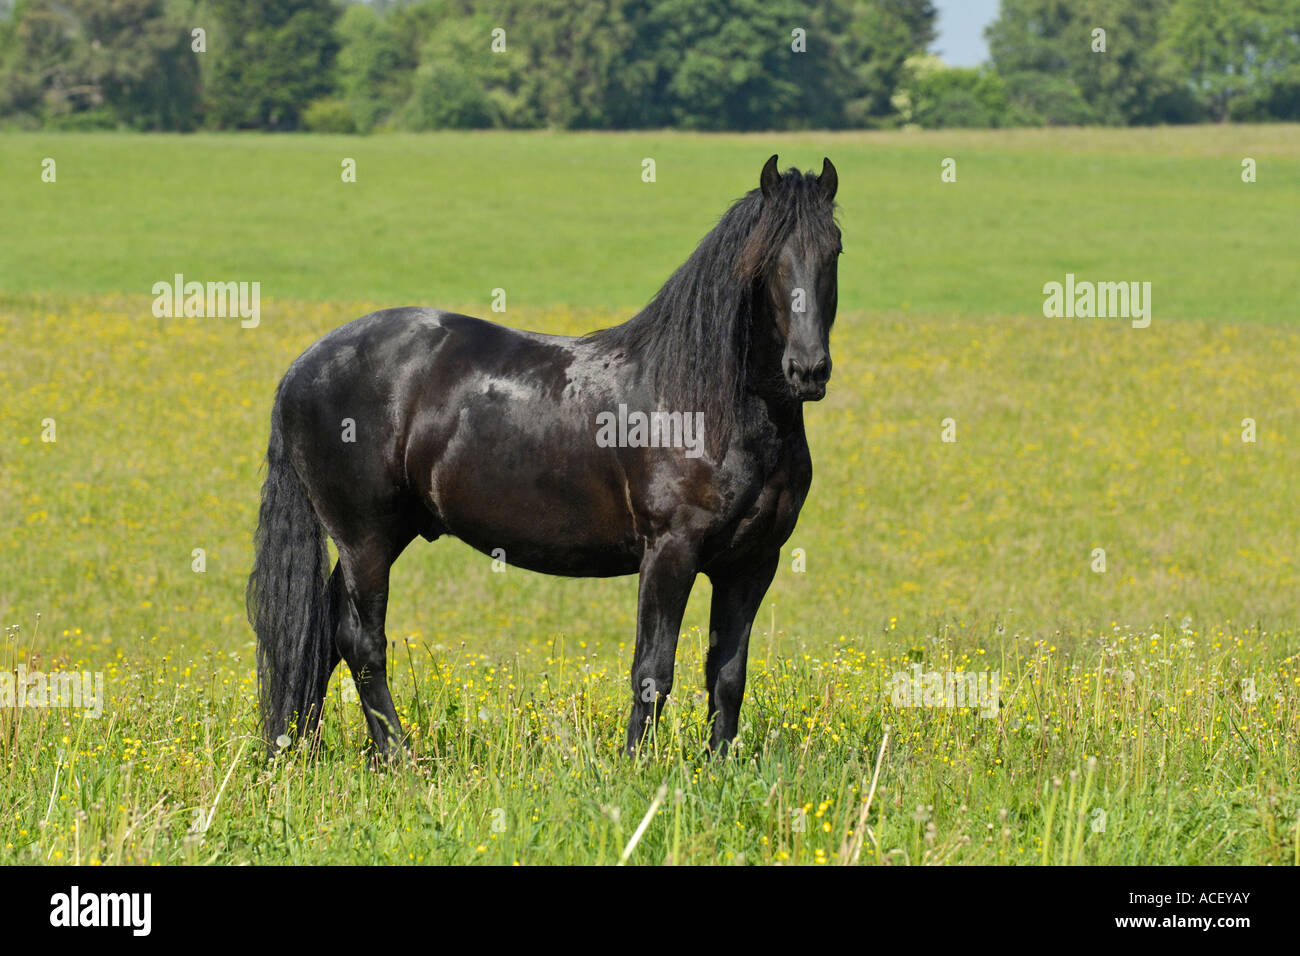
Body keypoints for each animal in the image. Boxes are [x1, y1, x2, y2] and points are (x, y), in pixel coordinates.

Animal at [247, 154, 841, 759]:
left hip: (384, 533)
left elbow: (727, 675)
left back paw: (301, 753)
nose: (808, 370)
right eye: (767, 259)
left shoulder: (752, 562)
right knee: (361, 642)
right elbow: (653, 671)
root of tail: (302, 366)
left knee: (322, 636)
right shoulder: (670, 551)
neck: (704, 404)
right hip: (363, 536)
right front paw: (636, 766)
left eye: (834, 249)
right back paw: (398, 758)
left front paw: (718, 766)